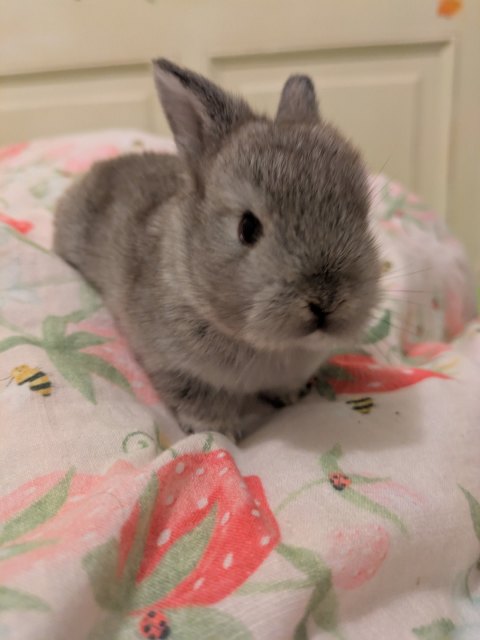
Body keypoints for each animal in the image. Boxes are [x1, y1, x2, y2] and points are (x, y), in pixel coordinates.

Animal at [54, 58, 380, 441]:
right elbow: (198, 397)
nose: (327, 300)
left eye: (364, 217)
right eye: (248, 228)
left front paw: (287, 397)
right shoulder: (176, 367)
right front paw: (216, 430)